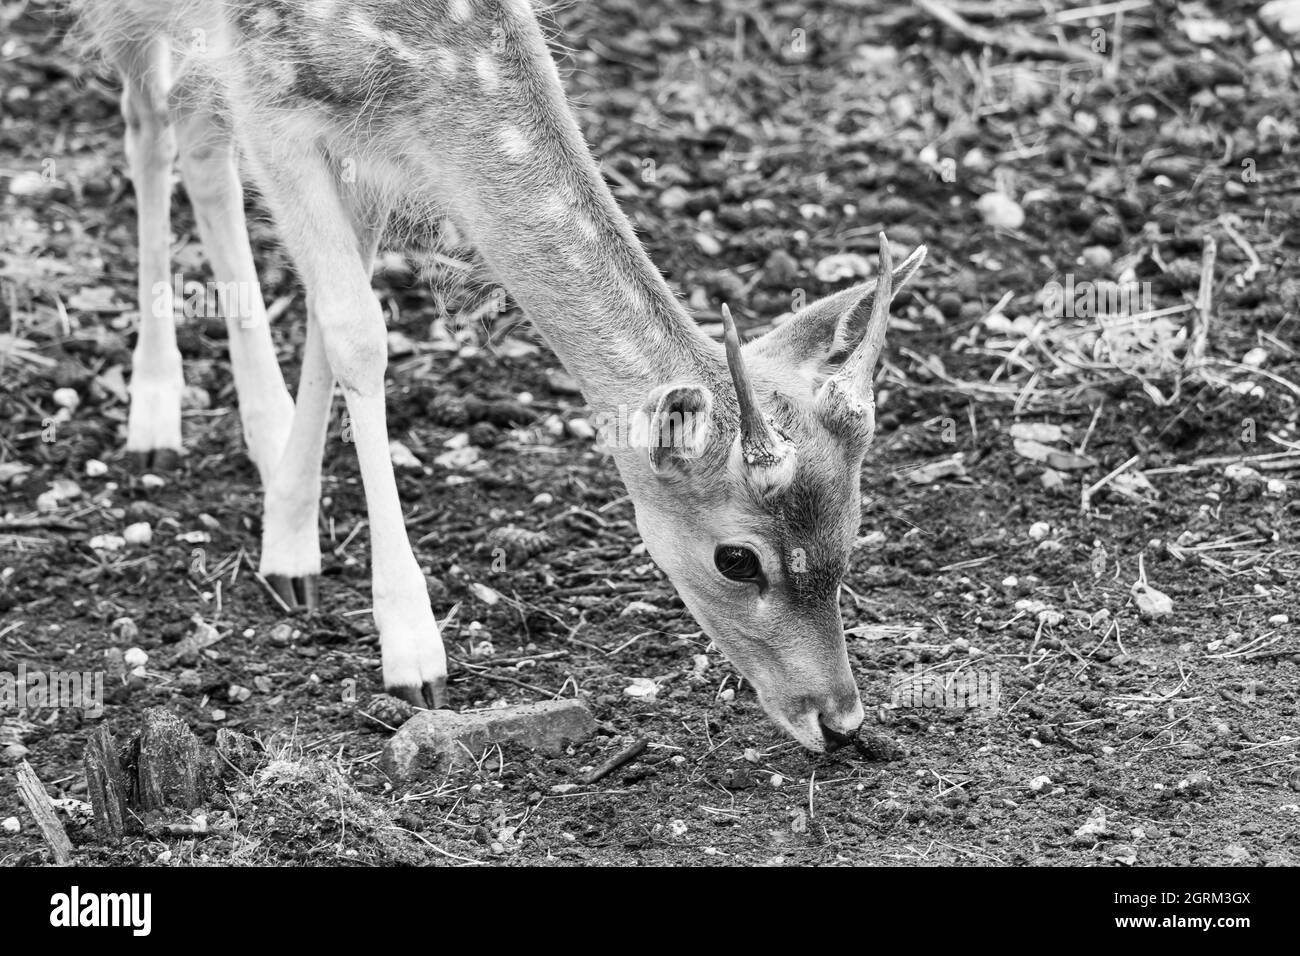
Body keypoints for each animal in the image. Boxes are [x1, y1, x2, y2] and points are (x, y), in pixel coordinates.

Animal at [70, 0, 926, 752]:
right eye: (737, 559)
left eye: (855, 528)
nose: (840, 723)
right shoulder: (269, 97)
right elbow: (357, 334)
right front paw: (406, 645)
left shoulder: (364, 140)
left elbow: (327, 310)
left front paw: (288, 532)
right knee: (149, 123)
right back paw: (154, 414)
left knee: (190, 125)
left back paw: (265, 431)